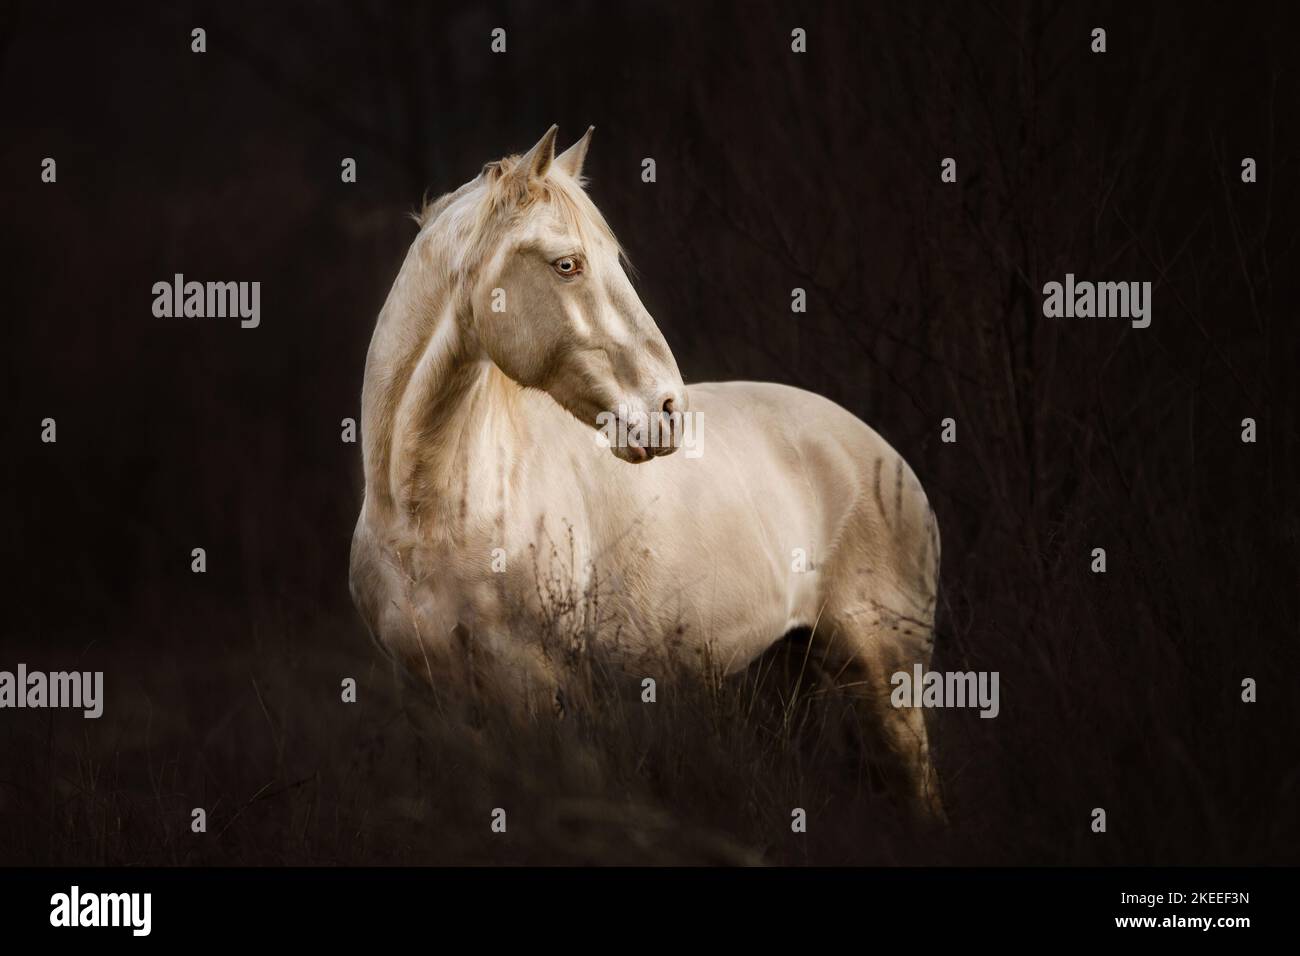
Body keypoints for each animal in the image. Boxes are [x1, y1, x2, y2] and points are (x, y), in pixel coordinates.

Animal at [349, 126, 944, 819]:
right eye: (567, 264)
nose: (667, 411)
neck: (429, 512)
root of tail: (889, 460)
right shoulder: (433, 703)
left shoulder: (540, 694)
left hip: (887, 683)